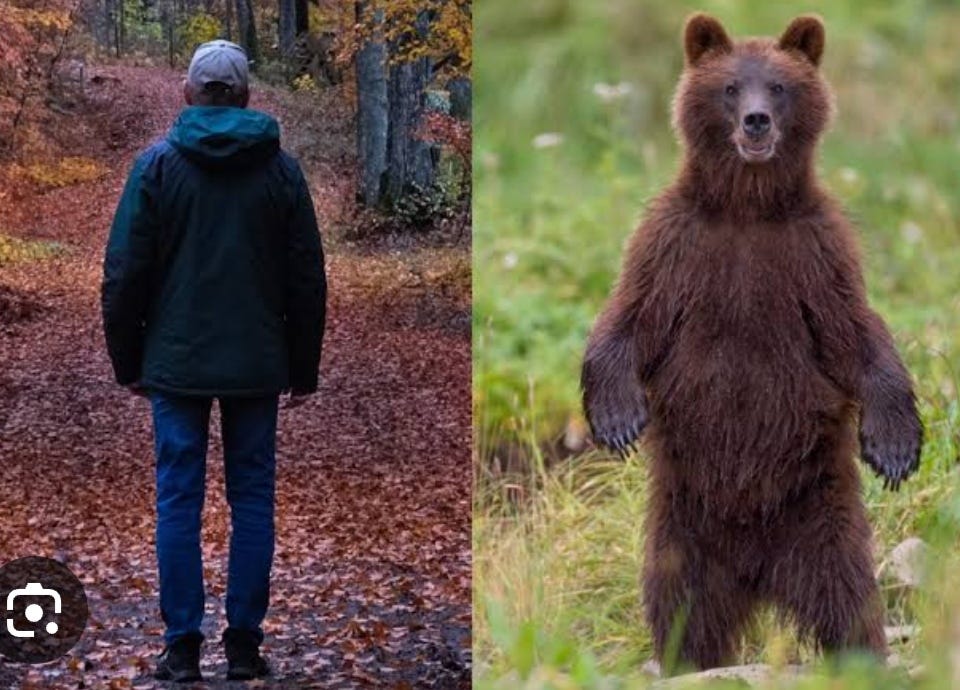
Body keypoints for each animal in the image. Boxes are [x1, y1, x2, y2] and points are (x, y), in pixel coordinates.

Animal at [580, 14, 923, 672]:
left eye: (780, 86)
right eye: (732, 87)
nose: (757, 120)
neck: (746, 206)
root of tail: (758, 575)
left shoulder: (813, 255)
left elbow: (858, 337)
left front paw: (894, 446)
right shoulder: (676, 247)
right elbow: (629, 319)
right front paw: (616, 418)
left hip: (821, 515)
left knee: (848, 597)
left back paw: (862, 655)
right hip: (682, 525)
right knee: (682, 604)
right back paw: (687, 661)